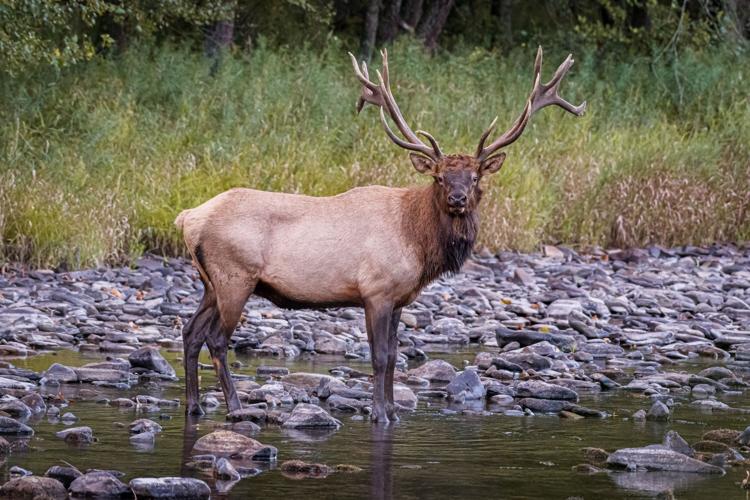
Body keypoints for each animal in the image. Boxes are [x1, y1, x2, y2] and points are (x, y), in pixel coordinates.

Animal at [175, 47, 586, 423]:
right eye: (439, 177)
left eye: (474, 177)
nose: (457, 199)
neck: (418, 244)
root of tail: (187, 217)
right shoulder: (376, 290)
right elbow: (380, 356)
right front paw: (379, 414)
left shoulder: (401, 297)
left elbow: (394, 355)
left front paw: (393, 410)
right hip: (235, 276)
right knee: (216, 339)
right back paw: (235, 407)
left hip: (210, 282)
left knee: (191, 332)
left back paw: (194, 405)